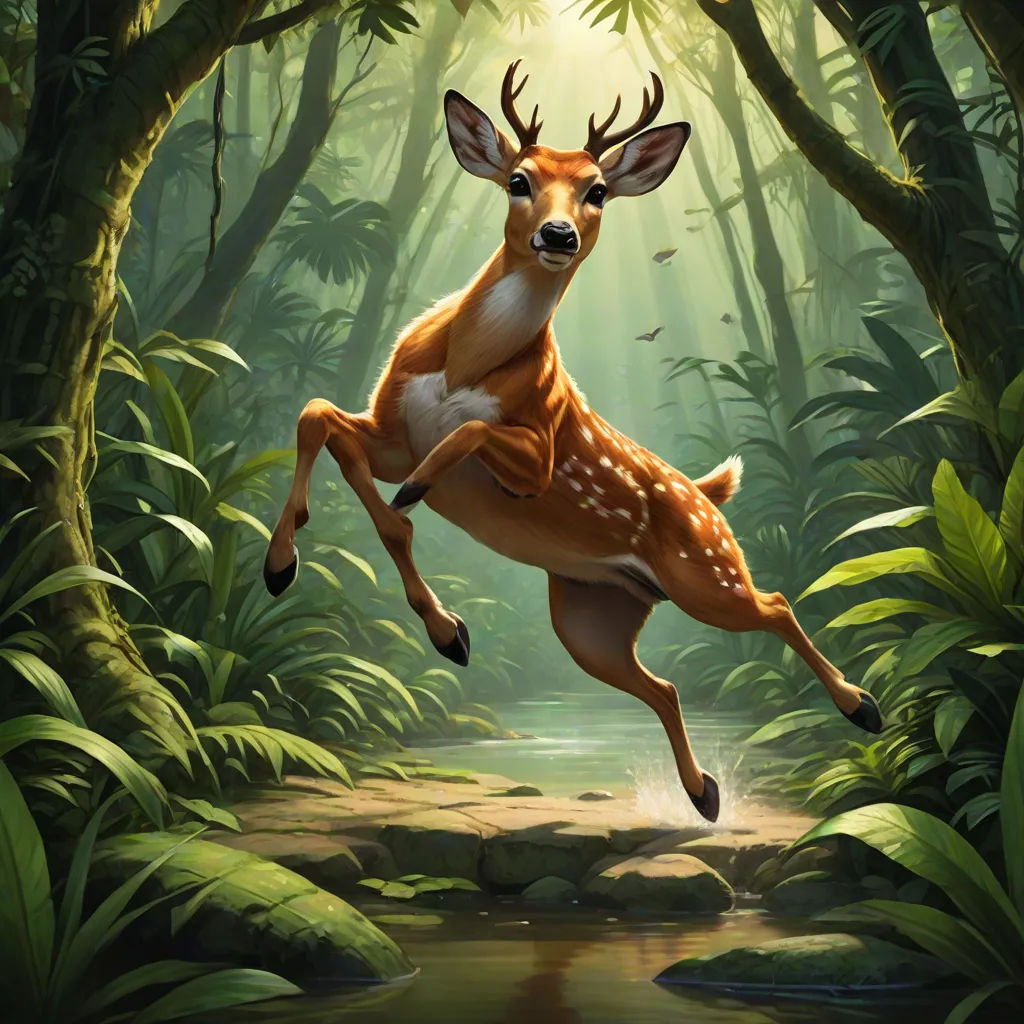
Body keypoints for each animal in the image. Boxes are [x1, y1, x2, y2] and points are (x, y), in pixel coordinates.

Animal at [264, 62, 884, 823]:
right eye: (518, 179)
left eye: (597, 191)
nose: (557, 235)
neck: (464, 365)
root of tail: (706, 496)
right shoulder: (391, 430)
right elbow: (318, 417)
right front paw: (298, 570)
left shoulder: (536, 457)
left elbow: (464, 434)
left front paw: (417, 522)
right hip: (590, 616)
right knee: (663, 684)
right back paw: (704, 792)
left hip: (705, 573)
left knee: (776, 604)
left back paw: (861, 708)